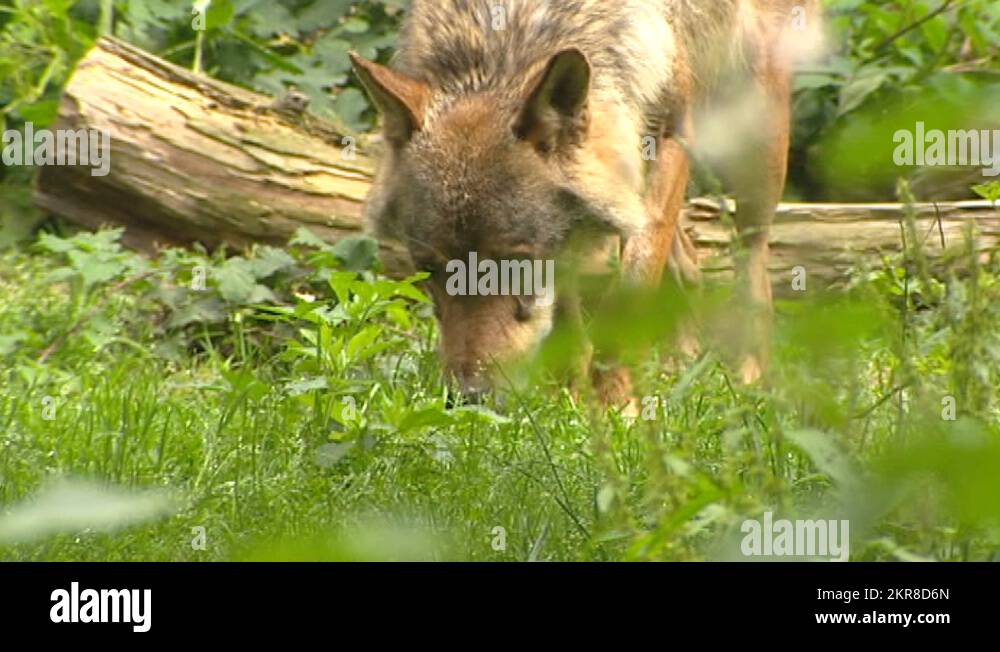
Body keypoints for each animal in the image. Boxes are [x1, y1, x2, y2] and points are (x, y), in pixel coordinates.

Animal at [350, 0, 823, 403]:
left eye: (516, 264)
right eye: (429, 269)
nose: (468, 397)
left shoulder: (671, 136)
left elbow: (633, 285)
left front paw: (616, 405)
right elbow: (568, 318)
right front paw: (574, 399)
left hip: (755, 134)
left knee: (751, 257)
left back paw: (751, 380)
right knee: (690, 262)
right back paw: (678, 366)